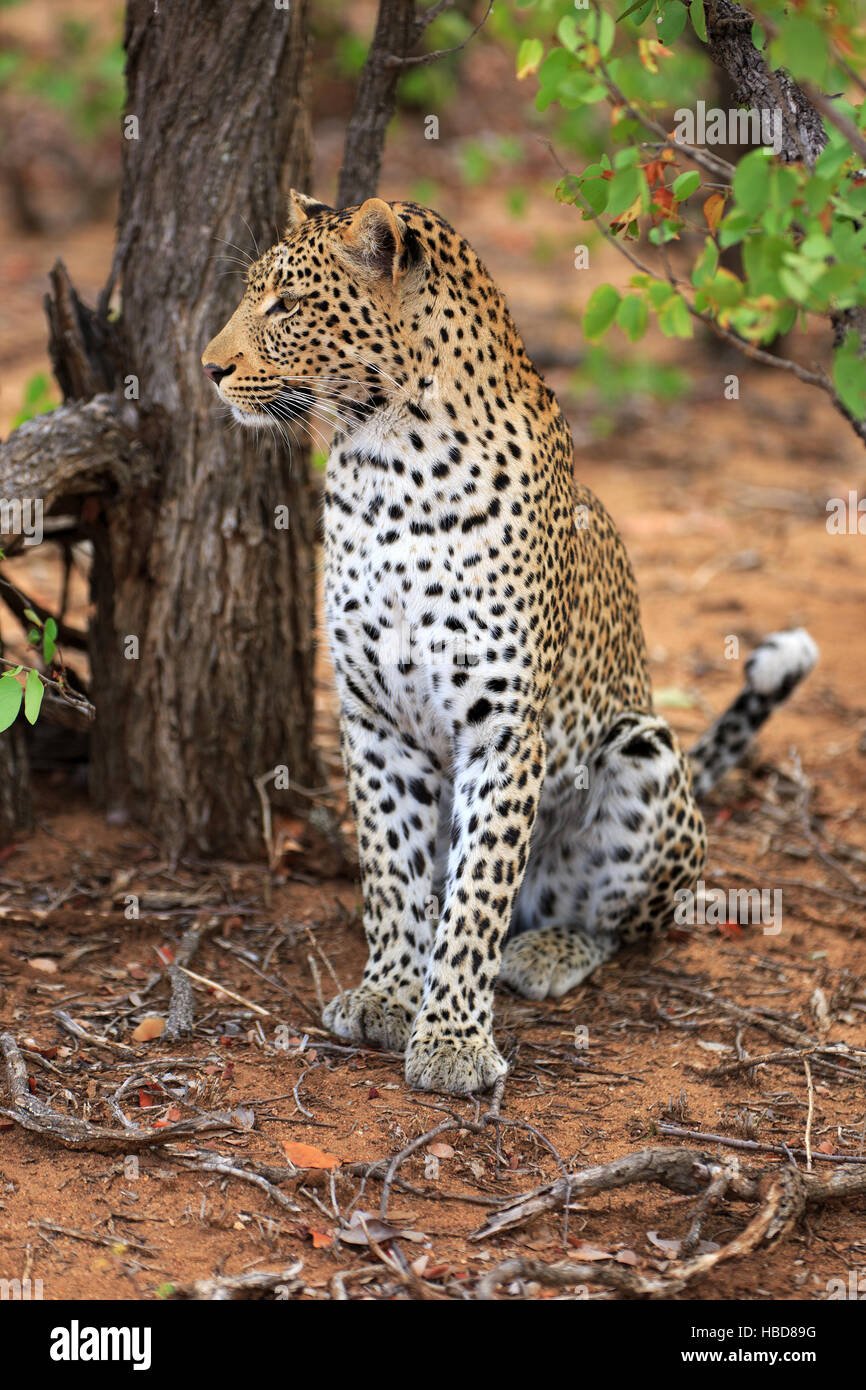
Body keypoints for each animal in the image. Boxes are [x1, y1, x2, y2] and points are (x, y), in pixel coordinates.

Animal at [202, 191, 818, 1095]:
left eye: (288, 304)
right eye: (254, 295)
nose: (208, 367)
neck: (389, 467)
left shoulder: (501, 725)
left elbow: (480, 891)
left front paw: (453, 1039)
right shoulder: (373, 716)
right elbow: (391, 868)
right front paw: (389, 993)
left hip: (644, 750)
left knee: (625, 919)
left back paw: (547, 950)